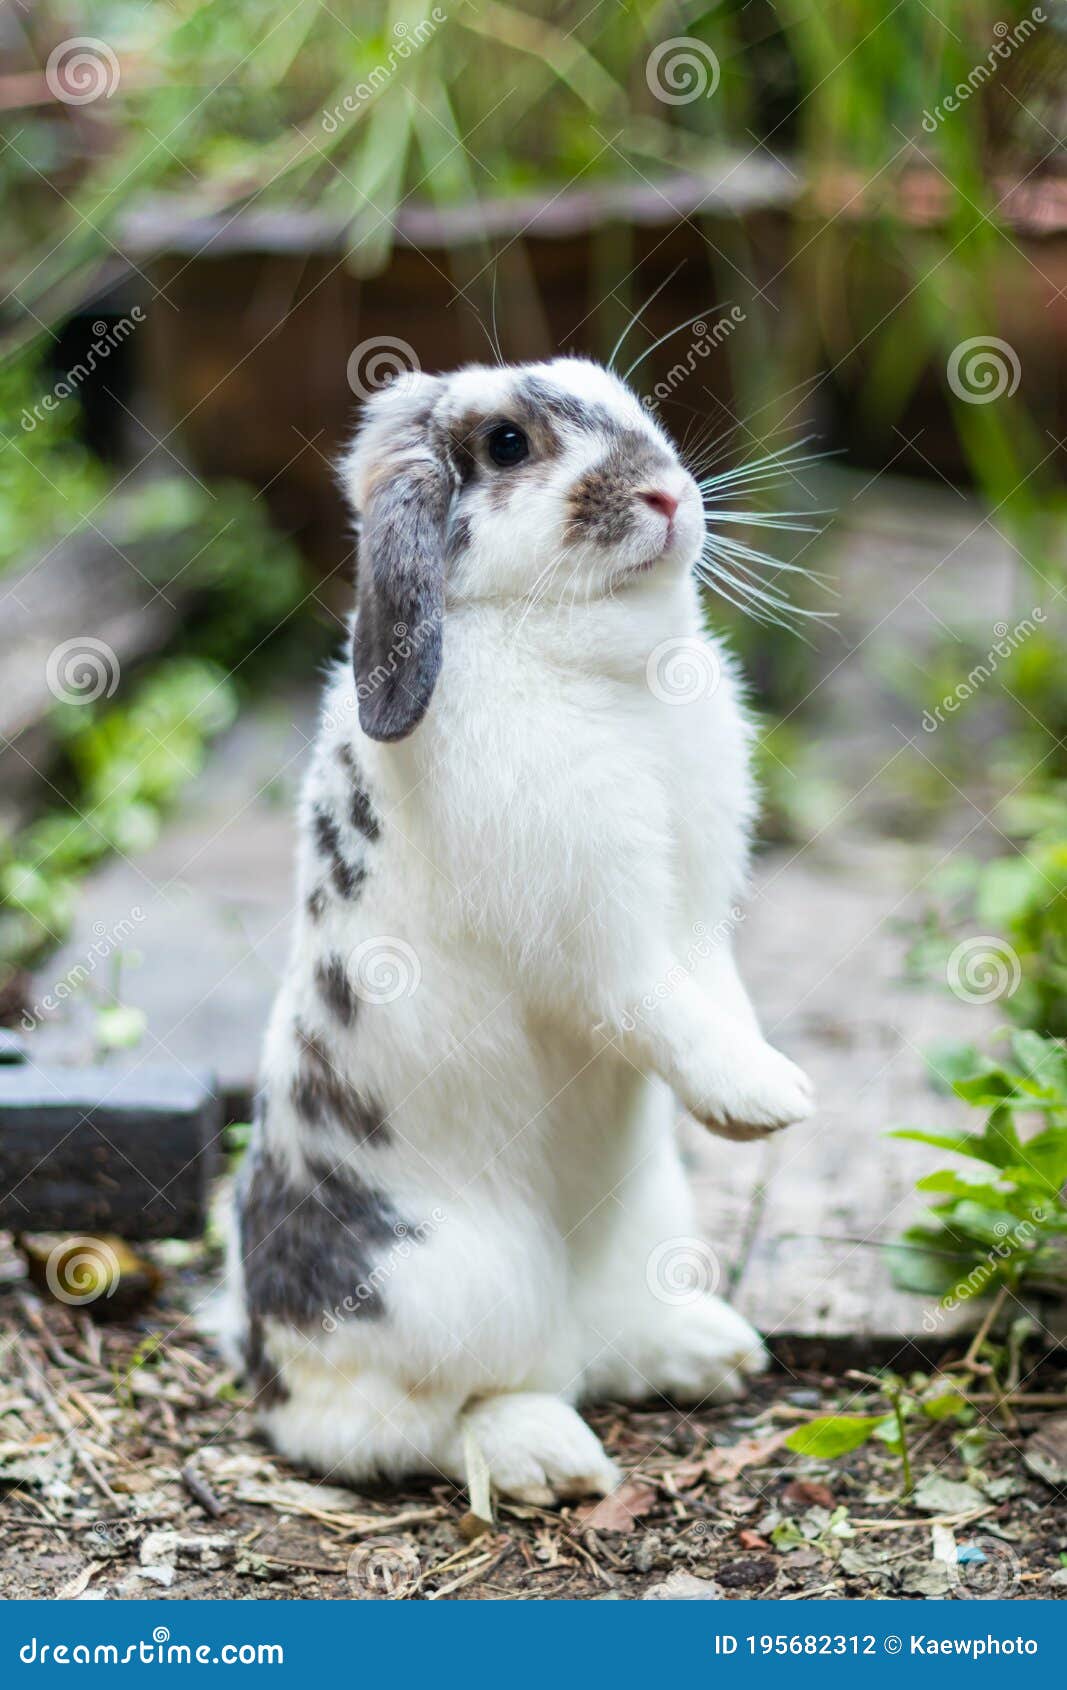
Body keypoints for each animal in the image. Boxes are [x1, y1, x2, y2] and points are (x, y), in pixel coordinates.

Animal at [218, 356, 814, 1504]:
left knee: (602, 1344)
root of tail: (269, 1355)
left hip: (647, 1223)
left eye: (625, 400)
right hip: (451, 1288)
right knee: (390, 1426)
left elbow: (717, 995)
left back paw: (707, 1349)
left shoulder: (697, 920)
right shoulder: (599, 934)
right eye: (505, 445)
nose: (667, 495)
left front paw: (760, 1083)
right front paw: (768, 1102)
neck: (589, 658)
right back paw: (543, 1453)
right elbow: (653, 1008)